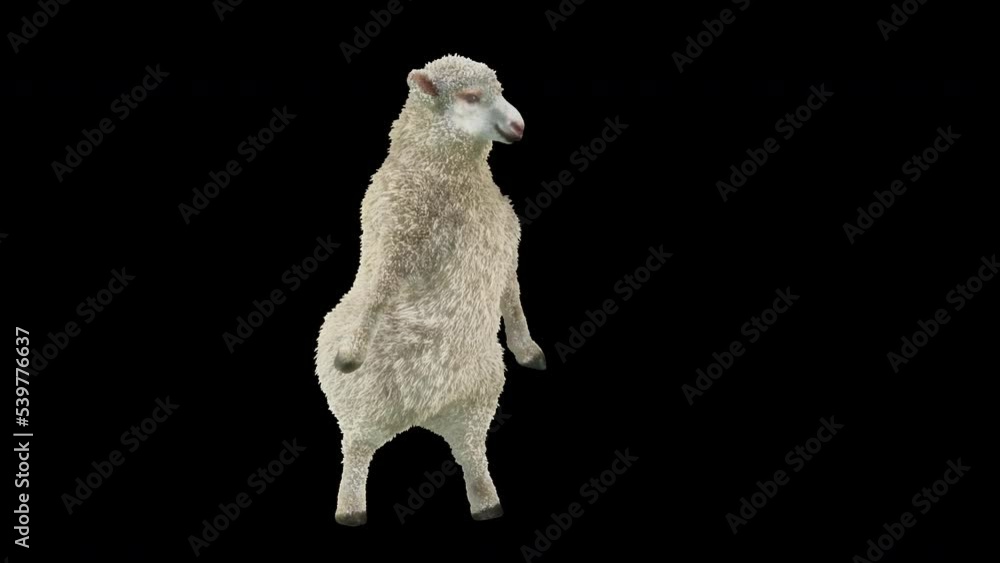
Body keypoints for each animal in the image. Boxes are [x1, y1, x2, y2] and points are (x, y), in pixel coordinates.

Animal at [315, 55, 546, 526]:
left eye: (498, 90)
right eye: (470, 97)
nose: (518, 126)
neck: (446, 174)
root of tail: (423, 415)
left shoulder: (508, 247)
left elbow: (512, 300)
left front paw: (528, 349)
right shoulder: (396, 223)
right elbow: (381, 281)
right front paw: (351, 353)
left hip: (476, 399)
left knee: (471, 452)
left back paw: (486, 501)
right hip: (360, 404)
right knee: (356, 449)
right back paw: (350, 508)